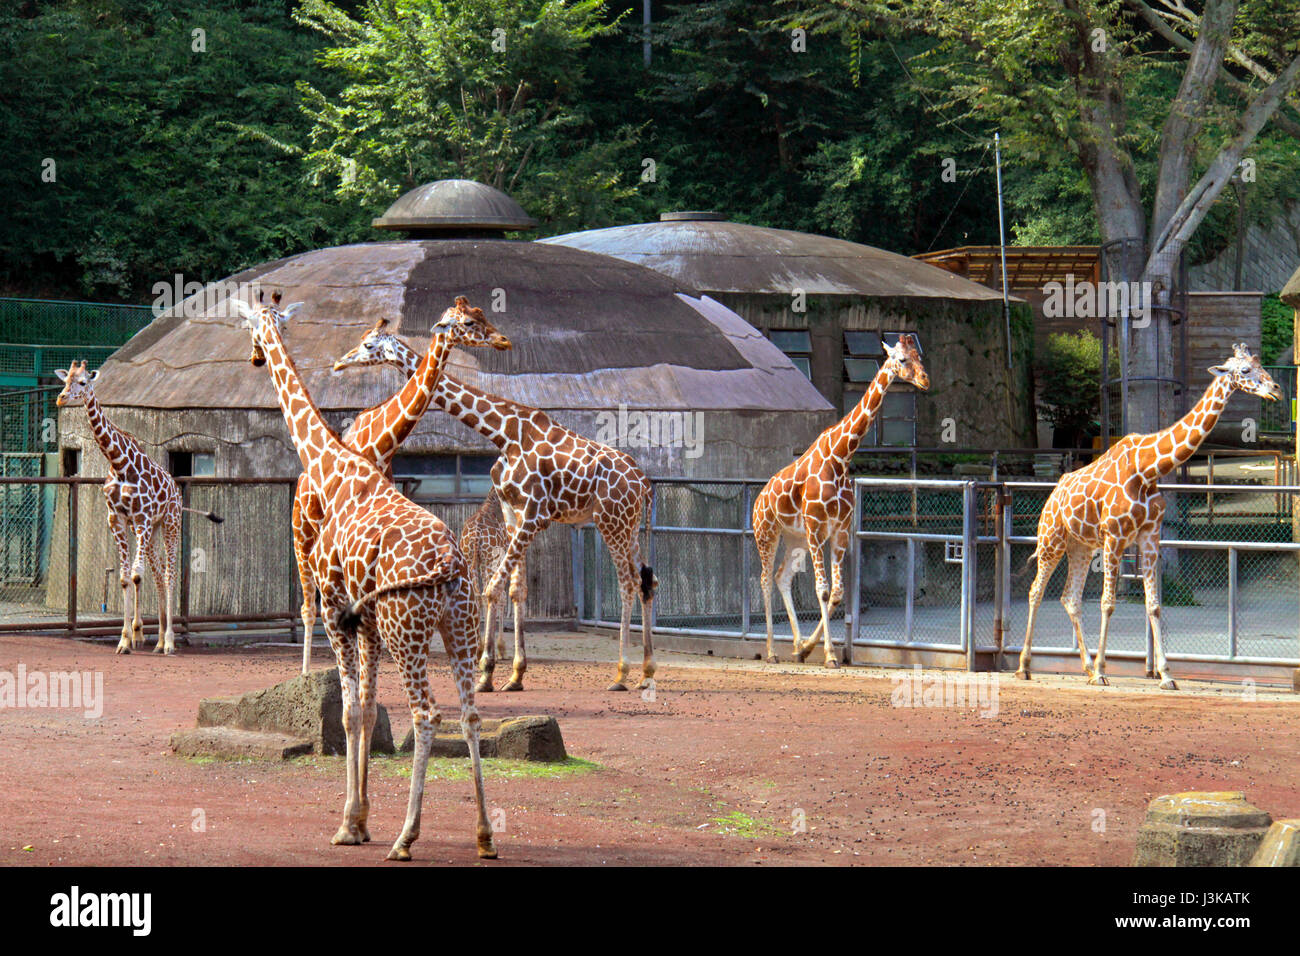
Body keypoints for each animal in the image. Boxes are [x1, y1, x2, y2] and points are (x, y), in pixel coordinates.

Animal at [54, 361, 223, 656]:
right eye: (66, 381)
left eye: (83, 382)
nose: (61, 398)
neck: (119, 463)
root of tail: (176, 488)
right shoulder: (118, 520)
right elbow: (124, 578)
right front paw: (125, 640)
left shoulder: (142, 519)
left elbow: (135, 575)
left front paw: (135, 635)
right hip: (150, 530)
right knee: (157, 574)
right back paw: (158, 640)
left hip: (169, 523)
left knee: (168, 574)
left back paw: (169, 642)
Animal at [460, 487, 509, 664]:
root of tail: (476, 535)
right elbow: (501, 597)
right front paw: (501, 649)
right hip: (489, 561)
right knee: (489, 594)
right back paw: (489, 650)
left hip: (470, 560)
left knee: (476, 595)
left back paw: (479, 648)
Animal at [753, 335, 929, 667]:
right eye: (901, 359)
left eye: (919, 357)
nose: (925, 380)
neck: (841, 456)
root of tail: (758, 499)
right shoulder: (816, 526)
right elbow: (822, 590)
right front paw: (830, 655)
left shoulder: (840, 529)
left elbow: (836, 593)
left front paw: (810, 649)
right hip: (767, 533)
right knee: (765, 579)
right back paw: (770, 651)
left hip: (794, 538)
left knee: (782, 577)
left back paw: (796, 646)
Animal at [1017, 343, 1282, 690]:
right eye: (1245, 371)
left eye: (1260, 363)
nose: (1275, 389)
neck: (1147, 469)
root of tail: (1052, 495)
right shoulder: (1114, 536)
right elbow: (1108, 603)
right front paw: (1103, 671)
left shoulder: (1150, 536)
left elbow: (1154, 606)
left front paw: (1166, 675)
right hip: (1051, 538)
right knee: (1036, 591)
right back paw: (1026, 666)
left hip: (1081, 546)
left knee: (1069, 597)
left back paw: (1084, 668)